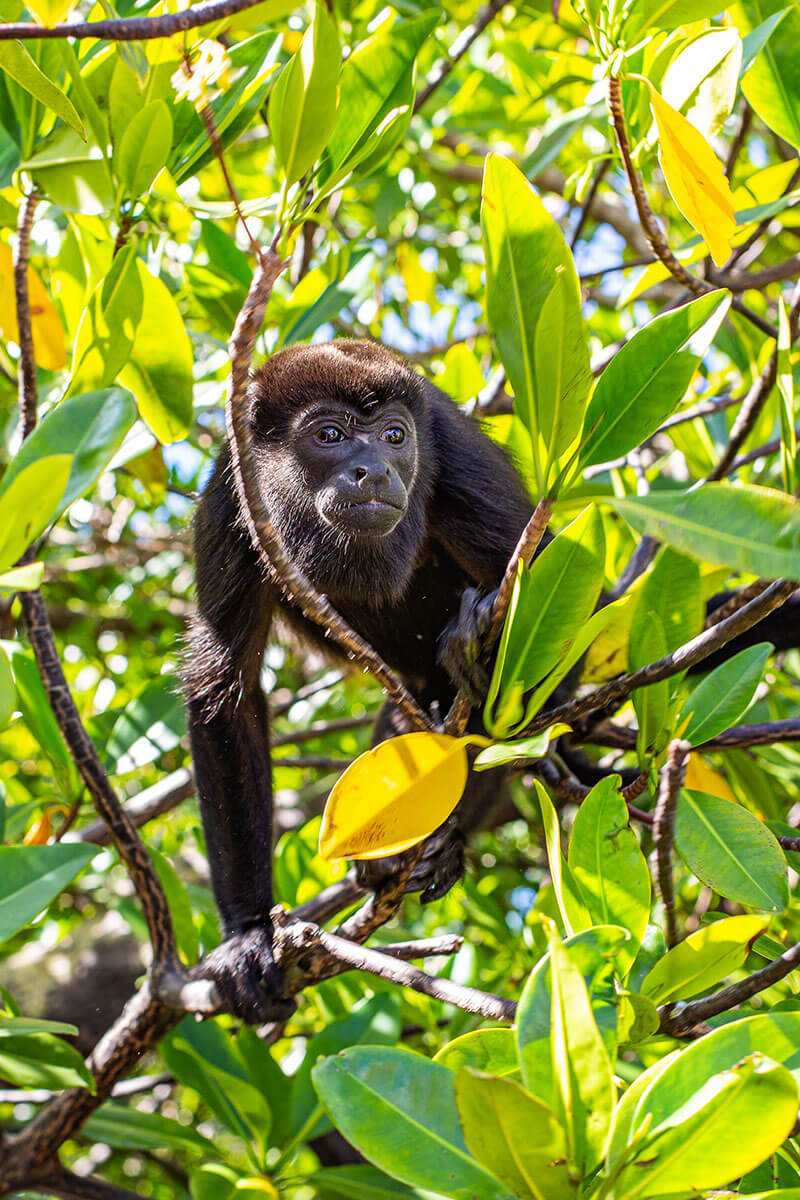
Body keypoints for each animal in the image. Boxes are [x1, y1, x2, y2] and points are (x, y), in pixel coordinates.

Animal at [183, 339, 800, 1022]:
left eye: (395, 435)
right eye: (329, 434)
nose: (377, 471)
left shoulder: (457, 463)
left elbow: (567, 607)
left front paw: (472, 651)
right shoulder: (230, 501)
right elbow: (227, 694)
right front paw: (245, 935)